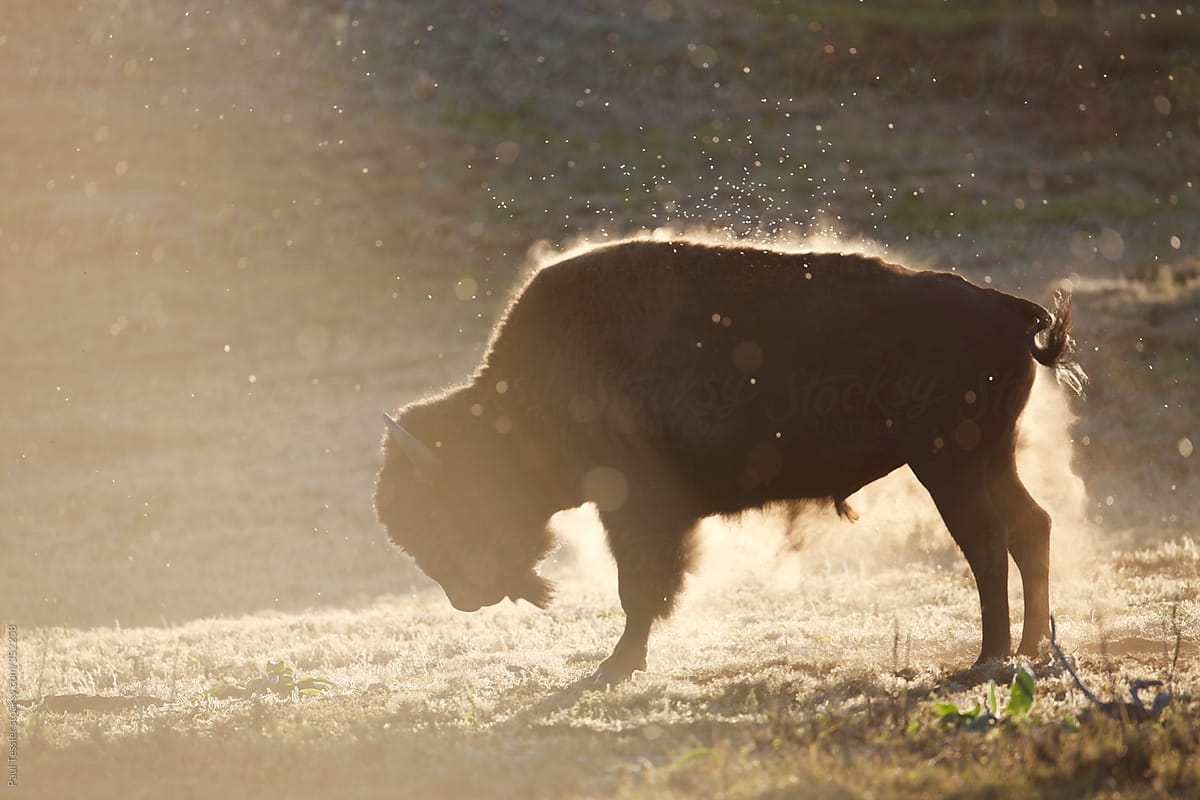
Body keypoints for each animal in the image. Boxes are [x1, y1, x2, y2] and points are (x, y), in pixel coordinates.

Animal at [374, 239, 1085, 684]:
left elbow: (641, 587)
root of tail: (1006, 308)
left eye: (441, 506)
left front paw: (616, 665)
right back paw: (1031, 653)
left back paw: (988, 660)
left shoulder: (638, 512)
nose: (463, 598)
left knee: (987, 544)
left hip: (949, 465)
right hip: (990, 459)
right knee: (1031, 527)